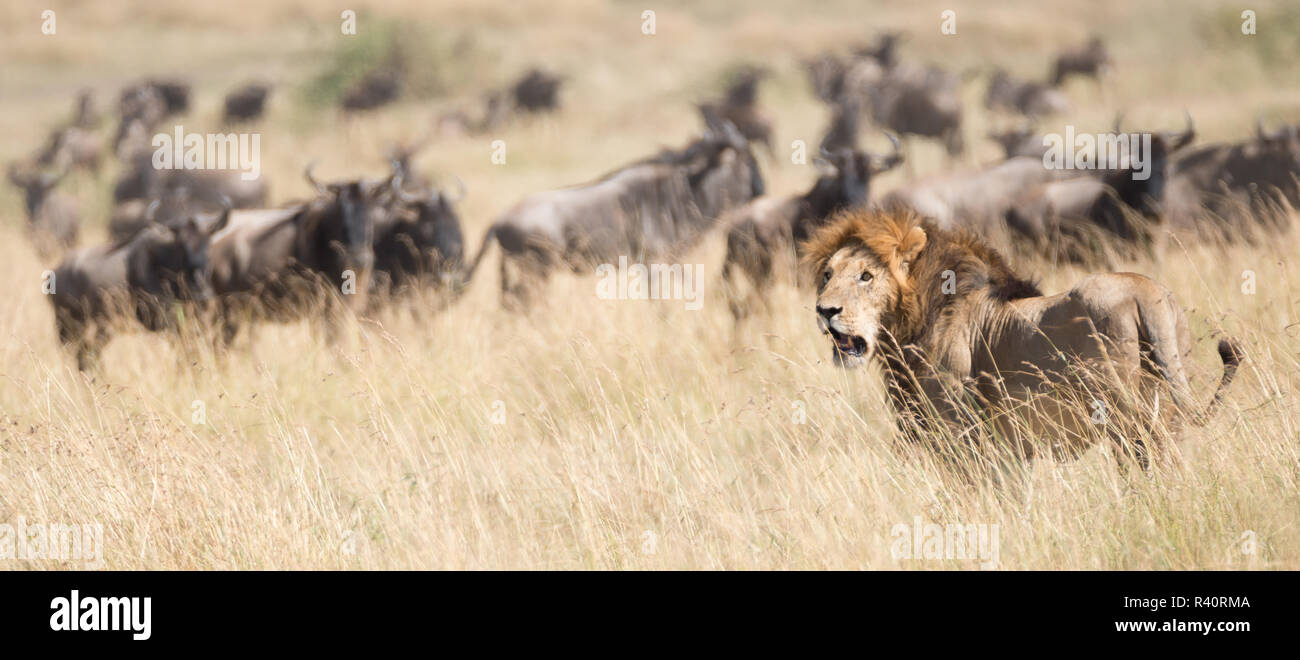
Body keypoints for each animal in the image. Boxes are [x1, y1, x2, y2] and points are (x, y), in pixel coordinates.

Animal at [802, 207, 1243, 472]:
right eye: (827, 274)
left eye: (866, 276)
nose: (825, 310)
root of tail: (1144, 292)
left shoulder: (964, 438)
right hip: (1167, 401)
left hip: (1120, 414)